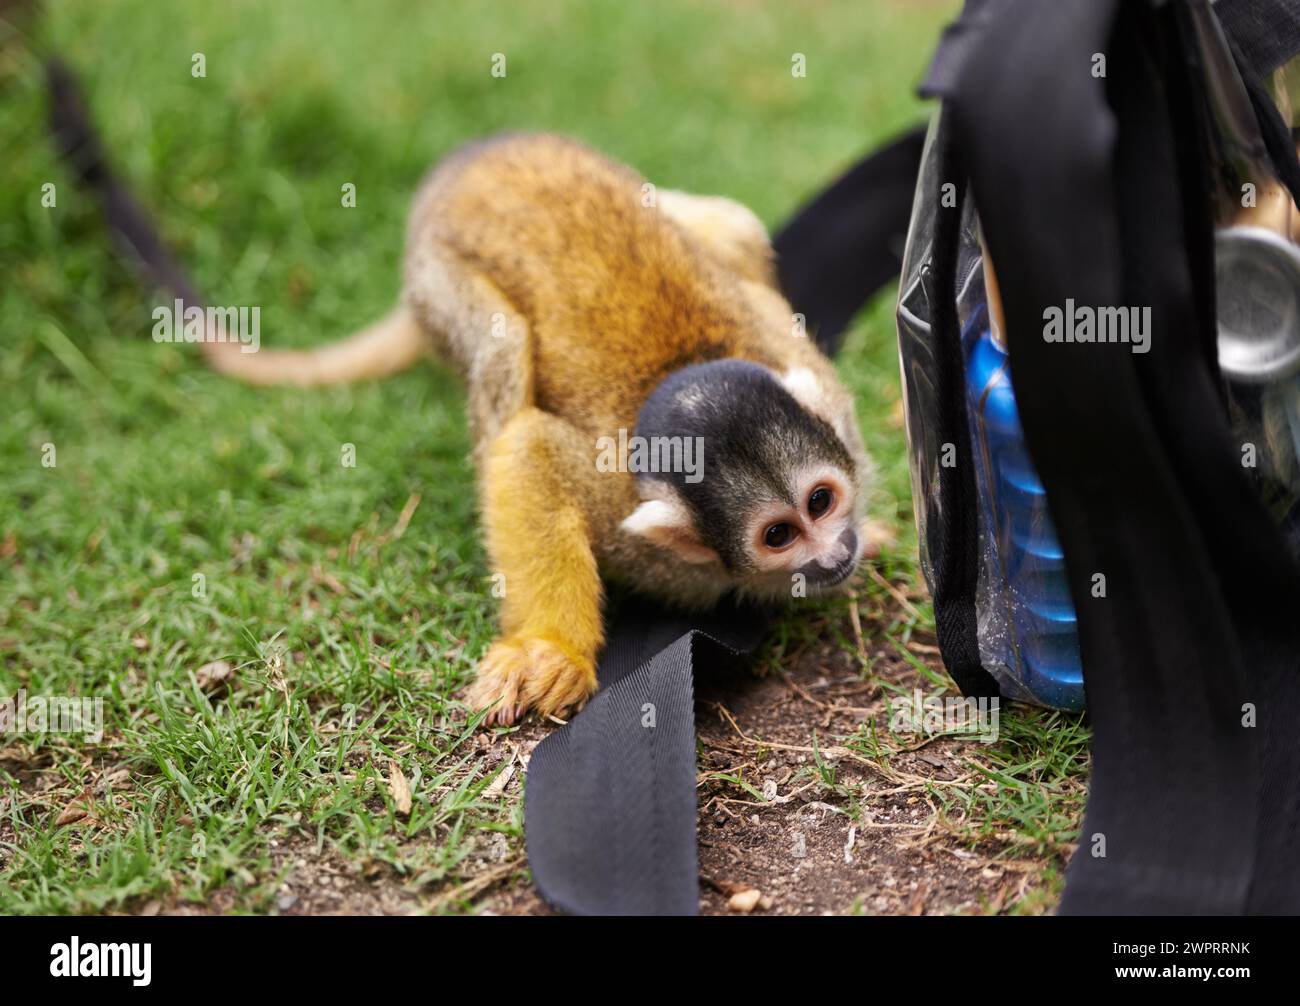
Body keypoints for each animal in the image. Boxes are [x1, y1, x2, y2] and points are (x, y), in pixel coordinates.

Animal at [203, 132, 874, 724]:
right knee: (502, 354)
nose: (836, 554)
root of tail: (475, 156)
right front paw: (554, 648)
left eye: (821, 500)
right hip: (436, 275)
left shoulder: (817, 379)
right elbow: (530, 450)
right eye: (779, 535)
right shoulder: (630, 530)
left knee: (733, 226)